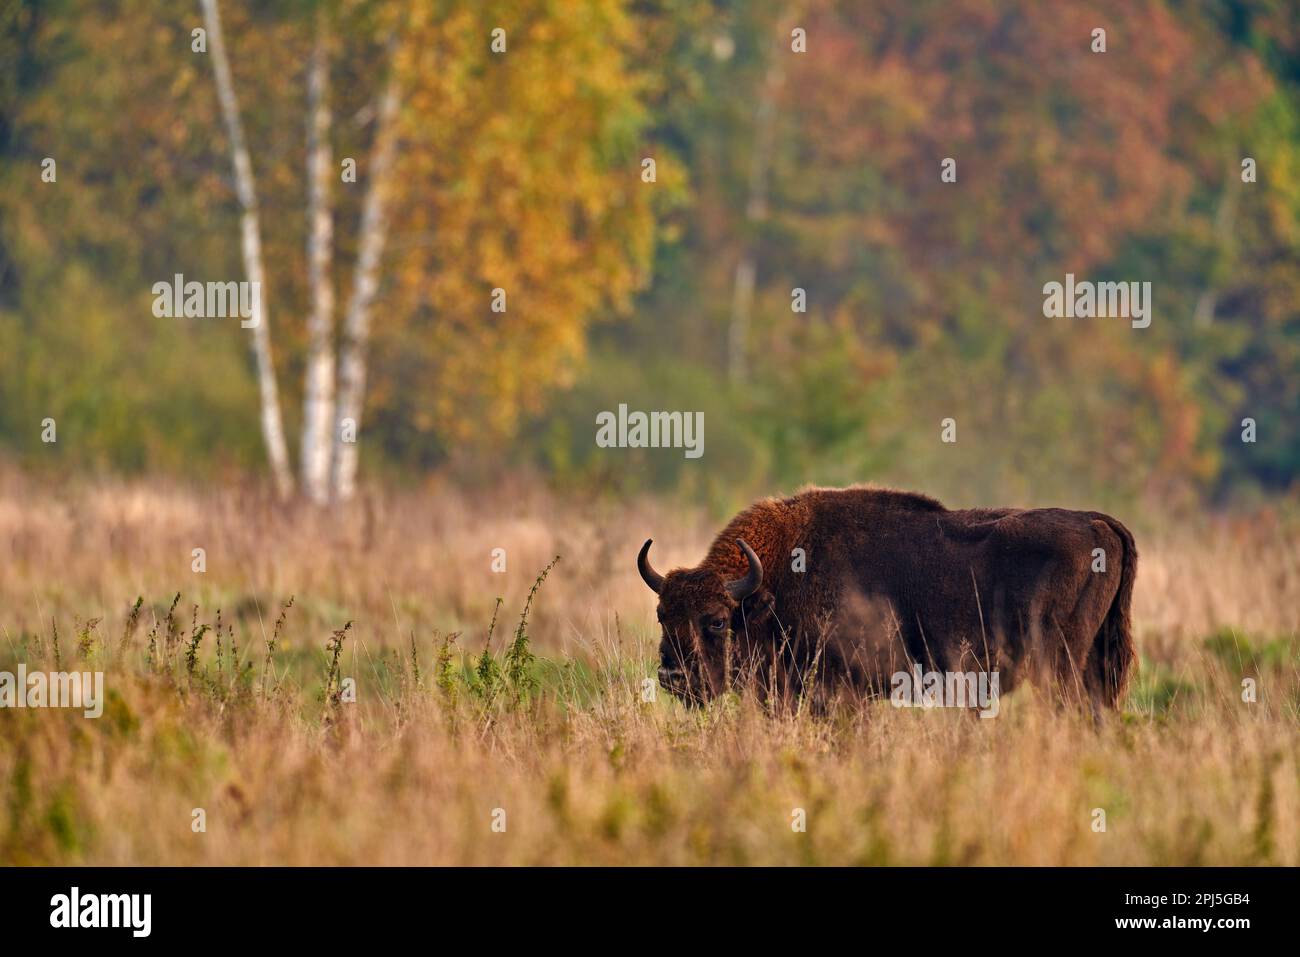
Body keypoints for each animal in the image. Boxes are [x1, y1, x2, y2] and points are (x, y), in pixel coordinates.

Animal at [638, 485, 1136, 714]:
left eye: (717, 620)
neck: (774, 580)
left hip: (1060, 667)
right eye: (662, 615)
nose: (674, 678)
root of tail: (1097, 522)